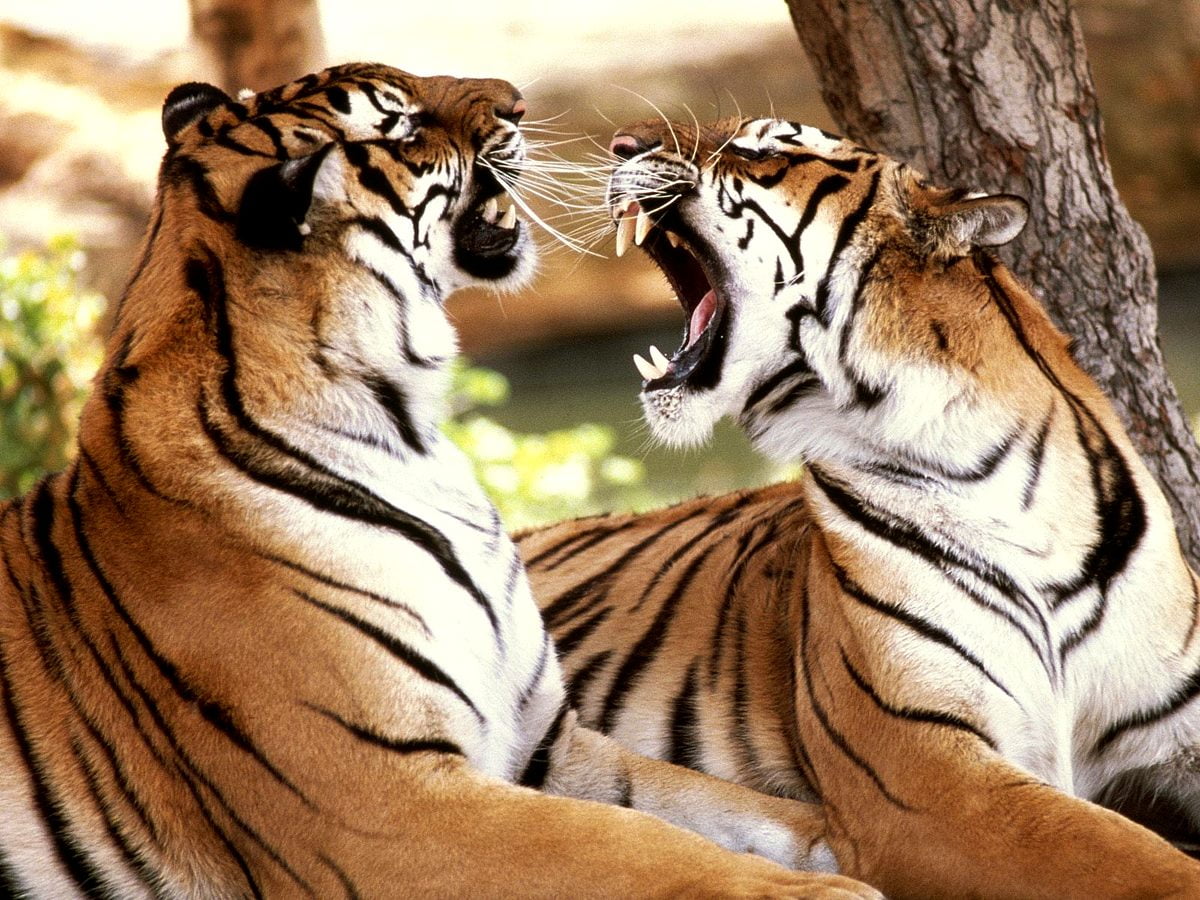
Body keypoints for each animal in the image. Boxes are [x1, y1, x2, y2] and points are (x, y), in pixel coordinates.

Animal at [0, 69, 881, 899]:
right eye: (402, 124)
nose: (519, 101)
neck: (410, 430)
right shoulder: (383, 803)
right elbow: (640, 846)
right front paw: (824, 891)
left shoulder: (544, 745)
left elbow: (725, 807)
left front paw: (843, 843)